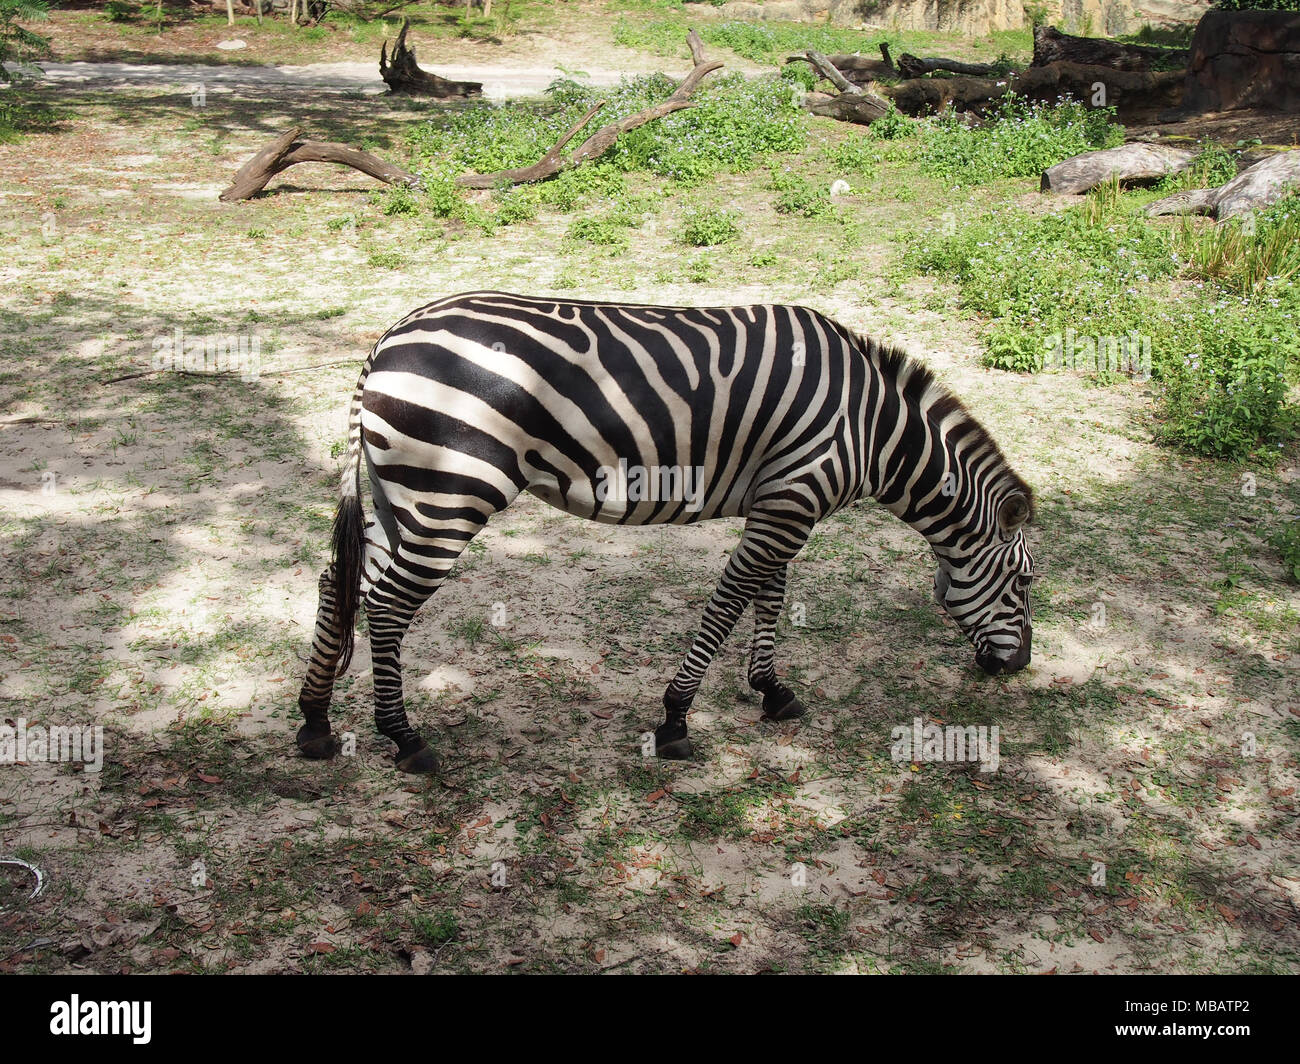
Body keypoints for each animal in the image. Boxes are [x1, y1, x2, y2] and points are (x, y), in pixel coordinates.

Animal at [296, 291, 1035, 774]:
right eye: (1024, 582)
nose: (1019, 667)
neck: (871, 426)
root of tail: (388, 338)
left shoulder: (782, 498)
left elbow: (771, 593)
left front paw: (771, 689)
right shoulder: (792, 496)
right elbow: (732, 599)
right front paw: (677, 717)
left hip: (402, 489)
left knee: (340, 580)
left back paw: (315, 720)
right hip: (448, 492)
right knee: (386, 604)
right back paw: (403, 738)